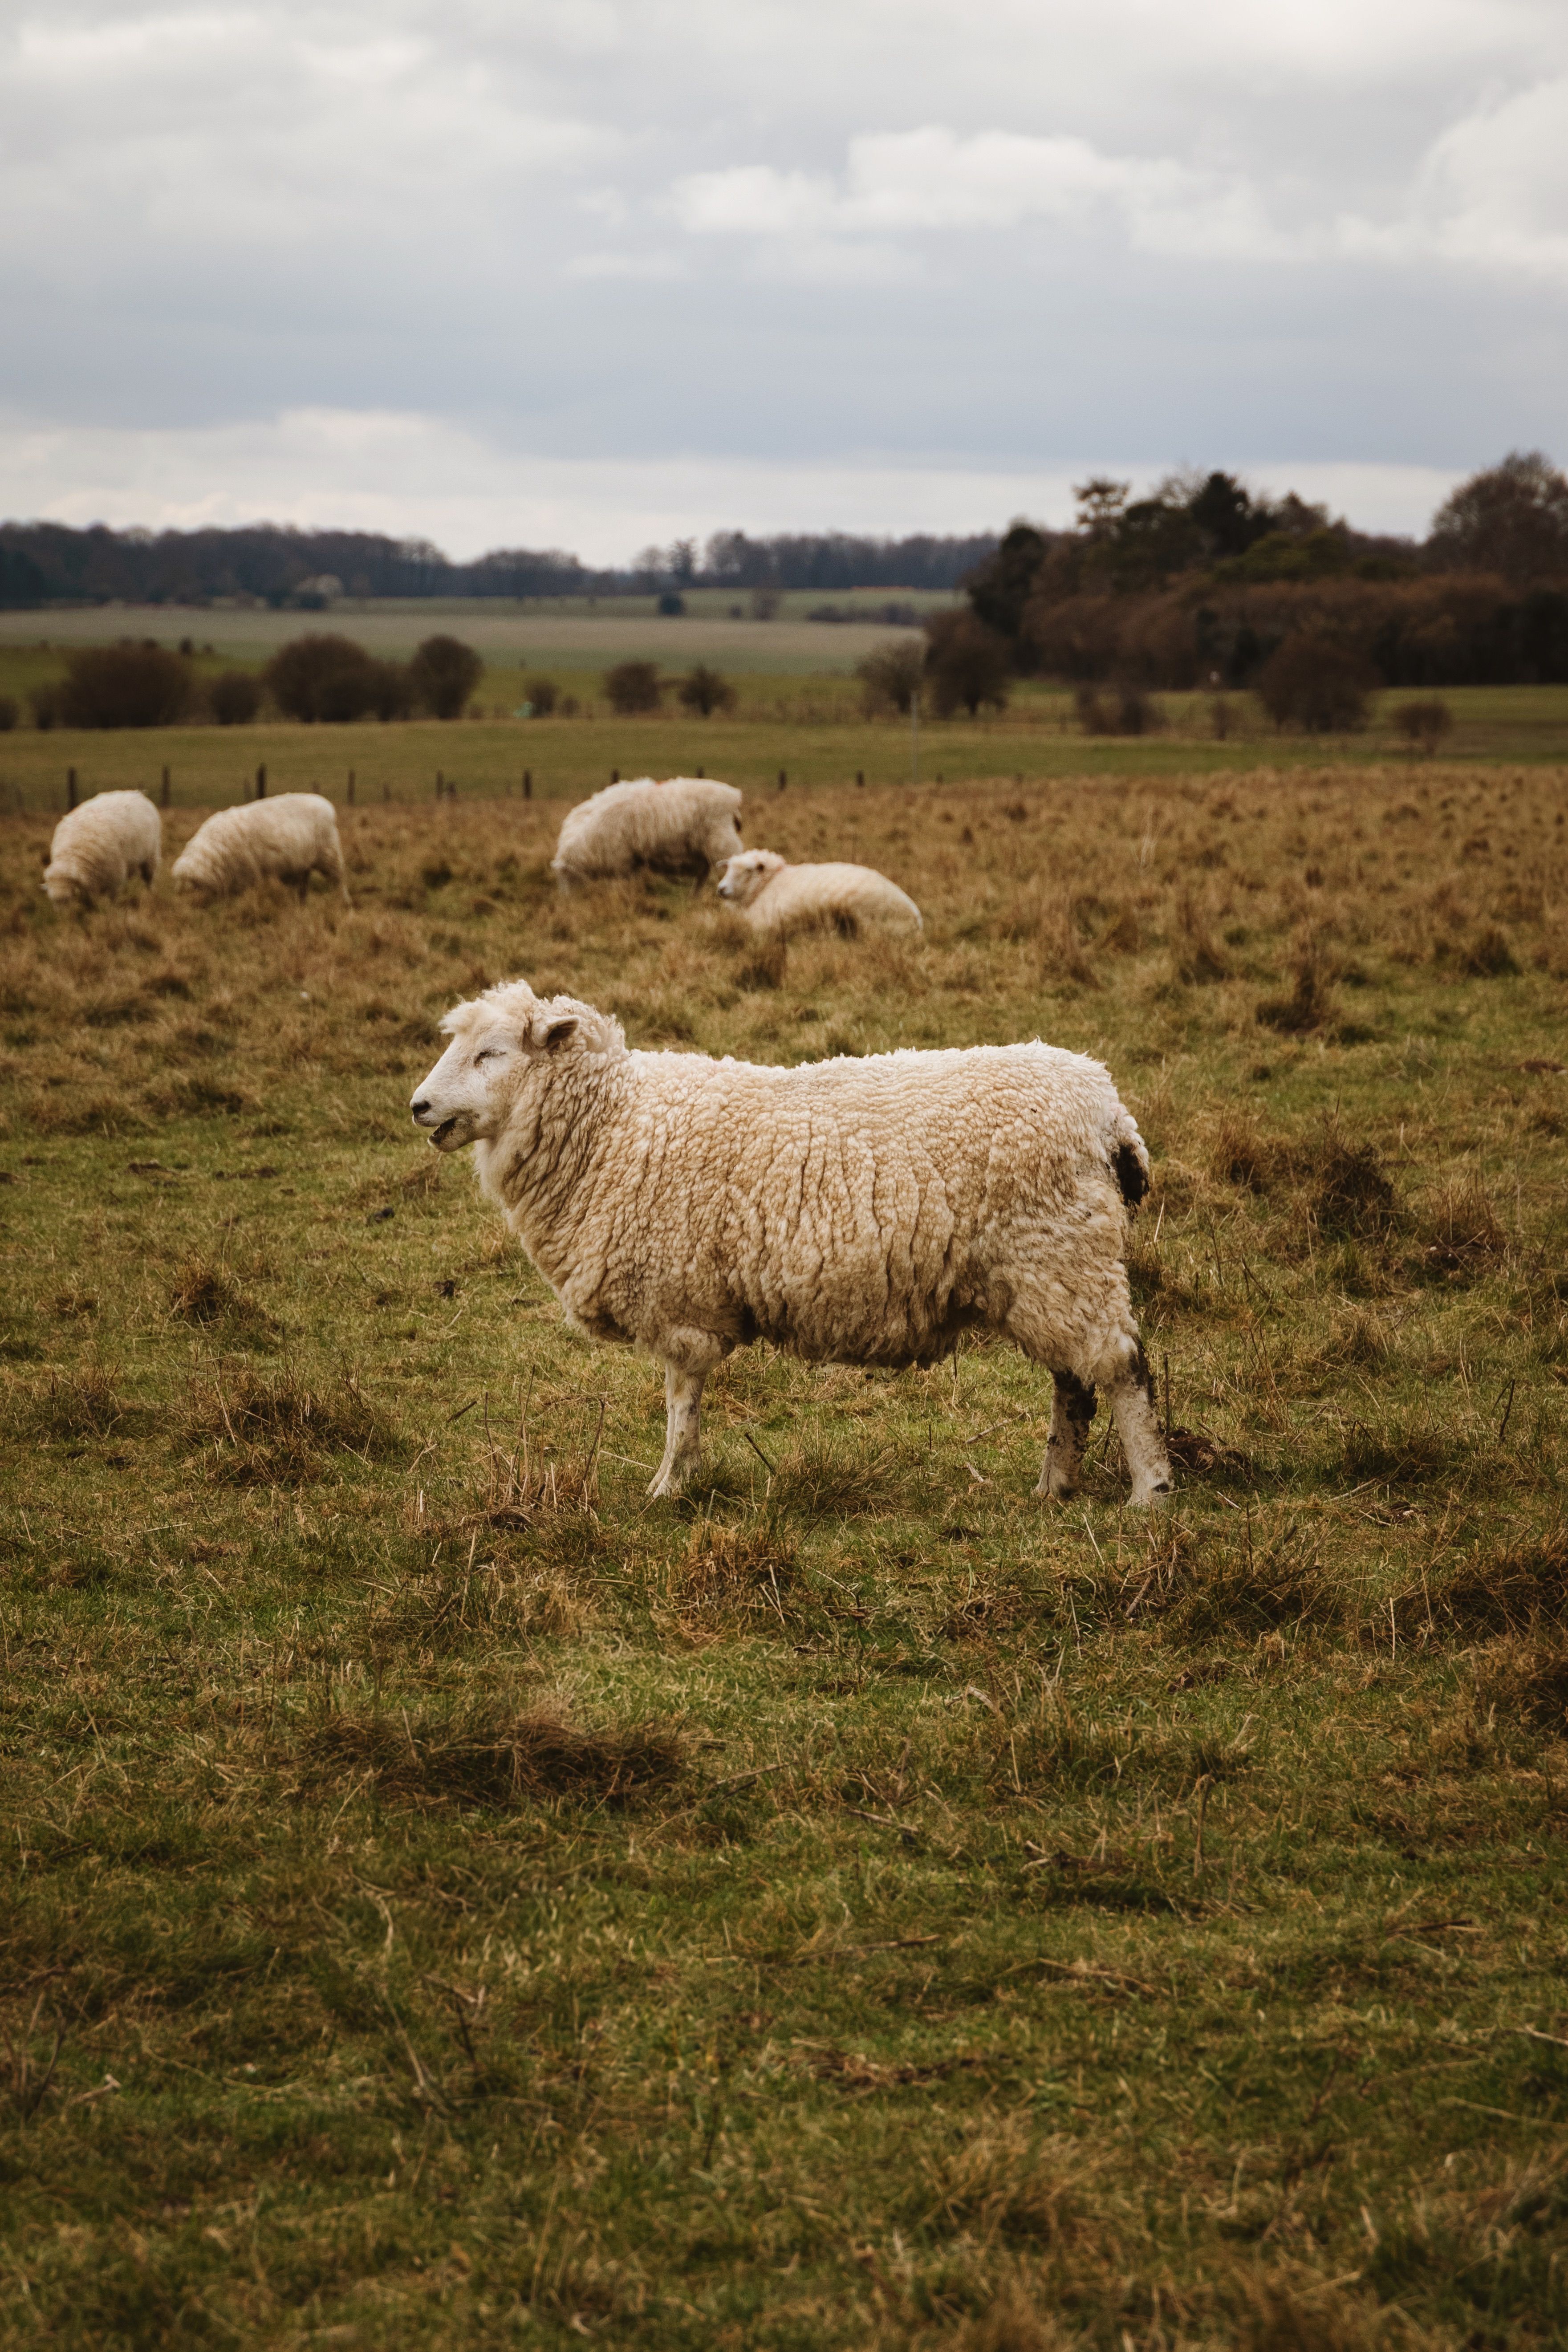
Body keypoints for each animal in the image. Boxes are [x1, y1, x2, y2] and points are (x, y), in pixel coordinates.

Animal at [42, 790, 161, 908]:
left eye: (67, 899)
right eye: (54, 902)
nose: (65, 915)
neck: (72, 853)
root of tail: (136, 793)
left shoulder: (115, 876)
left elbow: (113, 897)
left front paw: (112, 909)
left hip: (151, 856)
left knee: (149, 878)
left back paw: (150, 894)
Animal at [171, 793, 350, 903]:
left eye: (193, 888)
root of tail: (325, 803)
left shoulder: (246, 876)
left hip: (329, 855)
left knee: (338, 881)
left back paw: (343, 902)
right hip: (301, 865)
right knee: (302, 888)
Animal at [410, 979, 1173, 1508]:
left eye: (490, 1052)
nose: (418, 1105)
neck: (615, 1124)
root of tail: (1109, 1110)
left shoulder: (679, 1298)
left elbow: (680, 1400)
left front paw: (667, 1486)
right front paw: (678, 1480)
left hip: (1062, 1254)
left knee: (1122, 1369)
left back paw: (1150, 1491)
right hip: (1049, 1273)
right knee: (1073, 1381)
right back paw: (1054, 1485)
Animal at [550, 776, 744, 887]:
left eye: (567, 878)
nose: (567, 905)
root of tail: (734, 796)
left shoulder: (621, 863)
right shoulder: (630, 863)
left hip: (722, 844)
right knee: (702, 877)